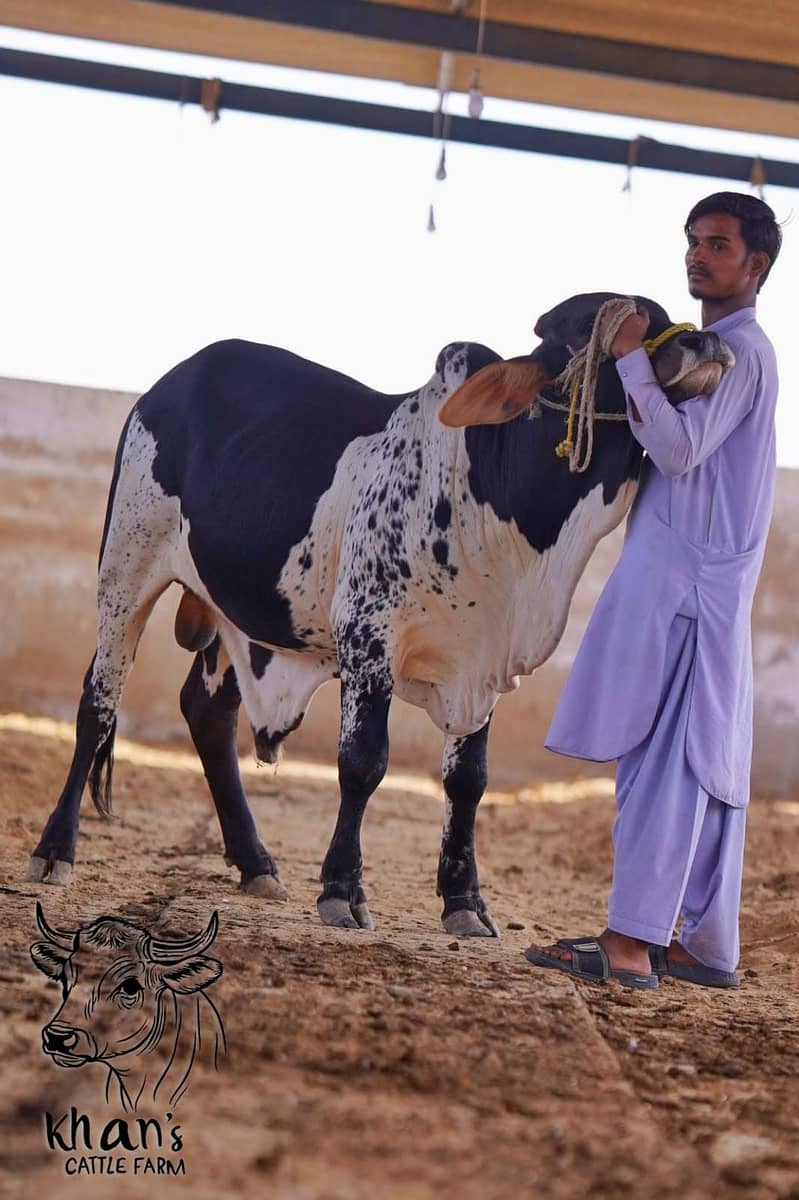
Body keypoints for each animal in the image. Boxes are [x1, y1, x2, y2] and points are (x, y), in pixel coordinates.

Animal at [26, 292, 733, 937]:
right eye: (598, 327)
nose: (703, 342)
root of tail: (171, 381)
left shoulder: (484, 665)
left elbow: (468, 780)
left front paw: (465, 902)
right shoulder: (369, 637)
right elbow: (364, 763)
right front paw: (342, 890)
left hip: (236, 616)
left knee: (207, 715)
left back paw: (256, 863)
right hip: (126, 573)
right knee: (98, 704)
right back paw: (55, 850)